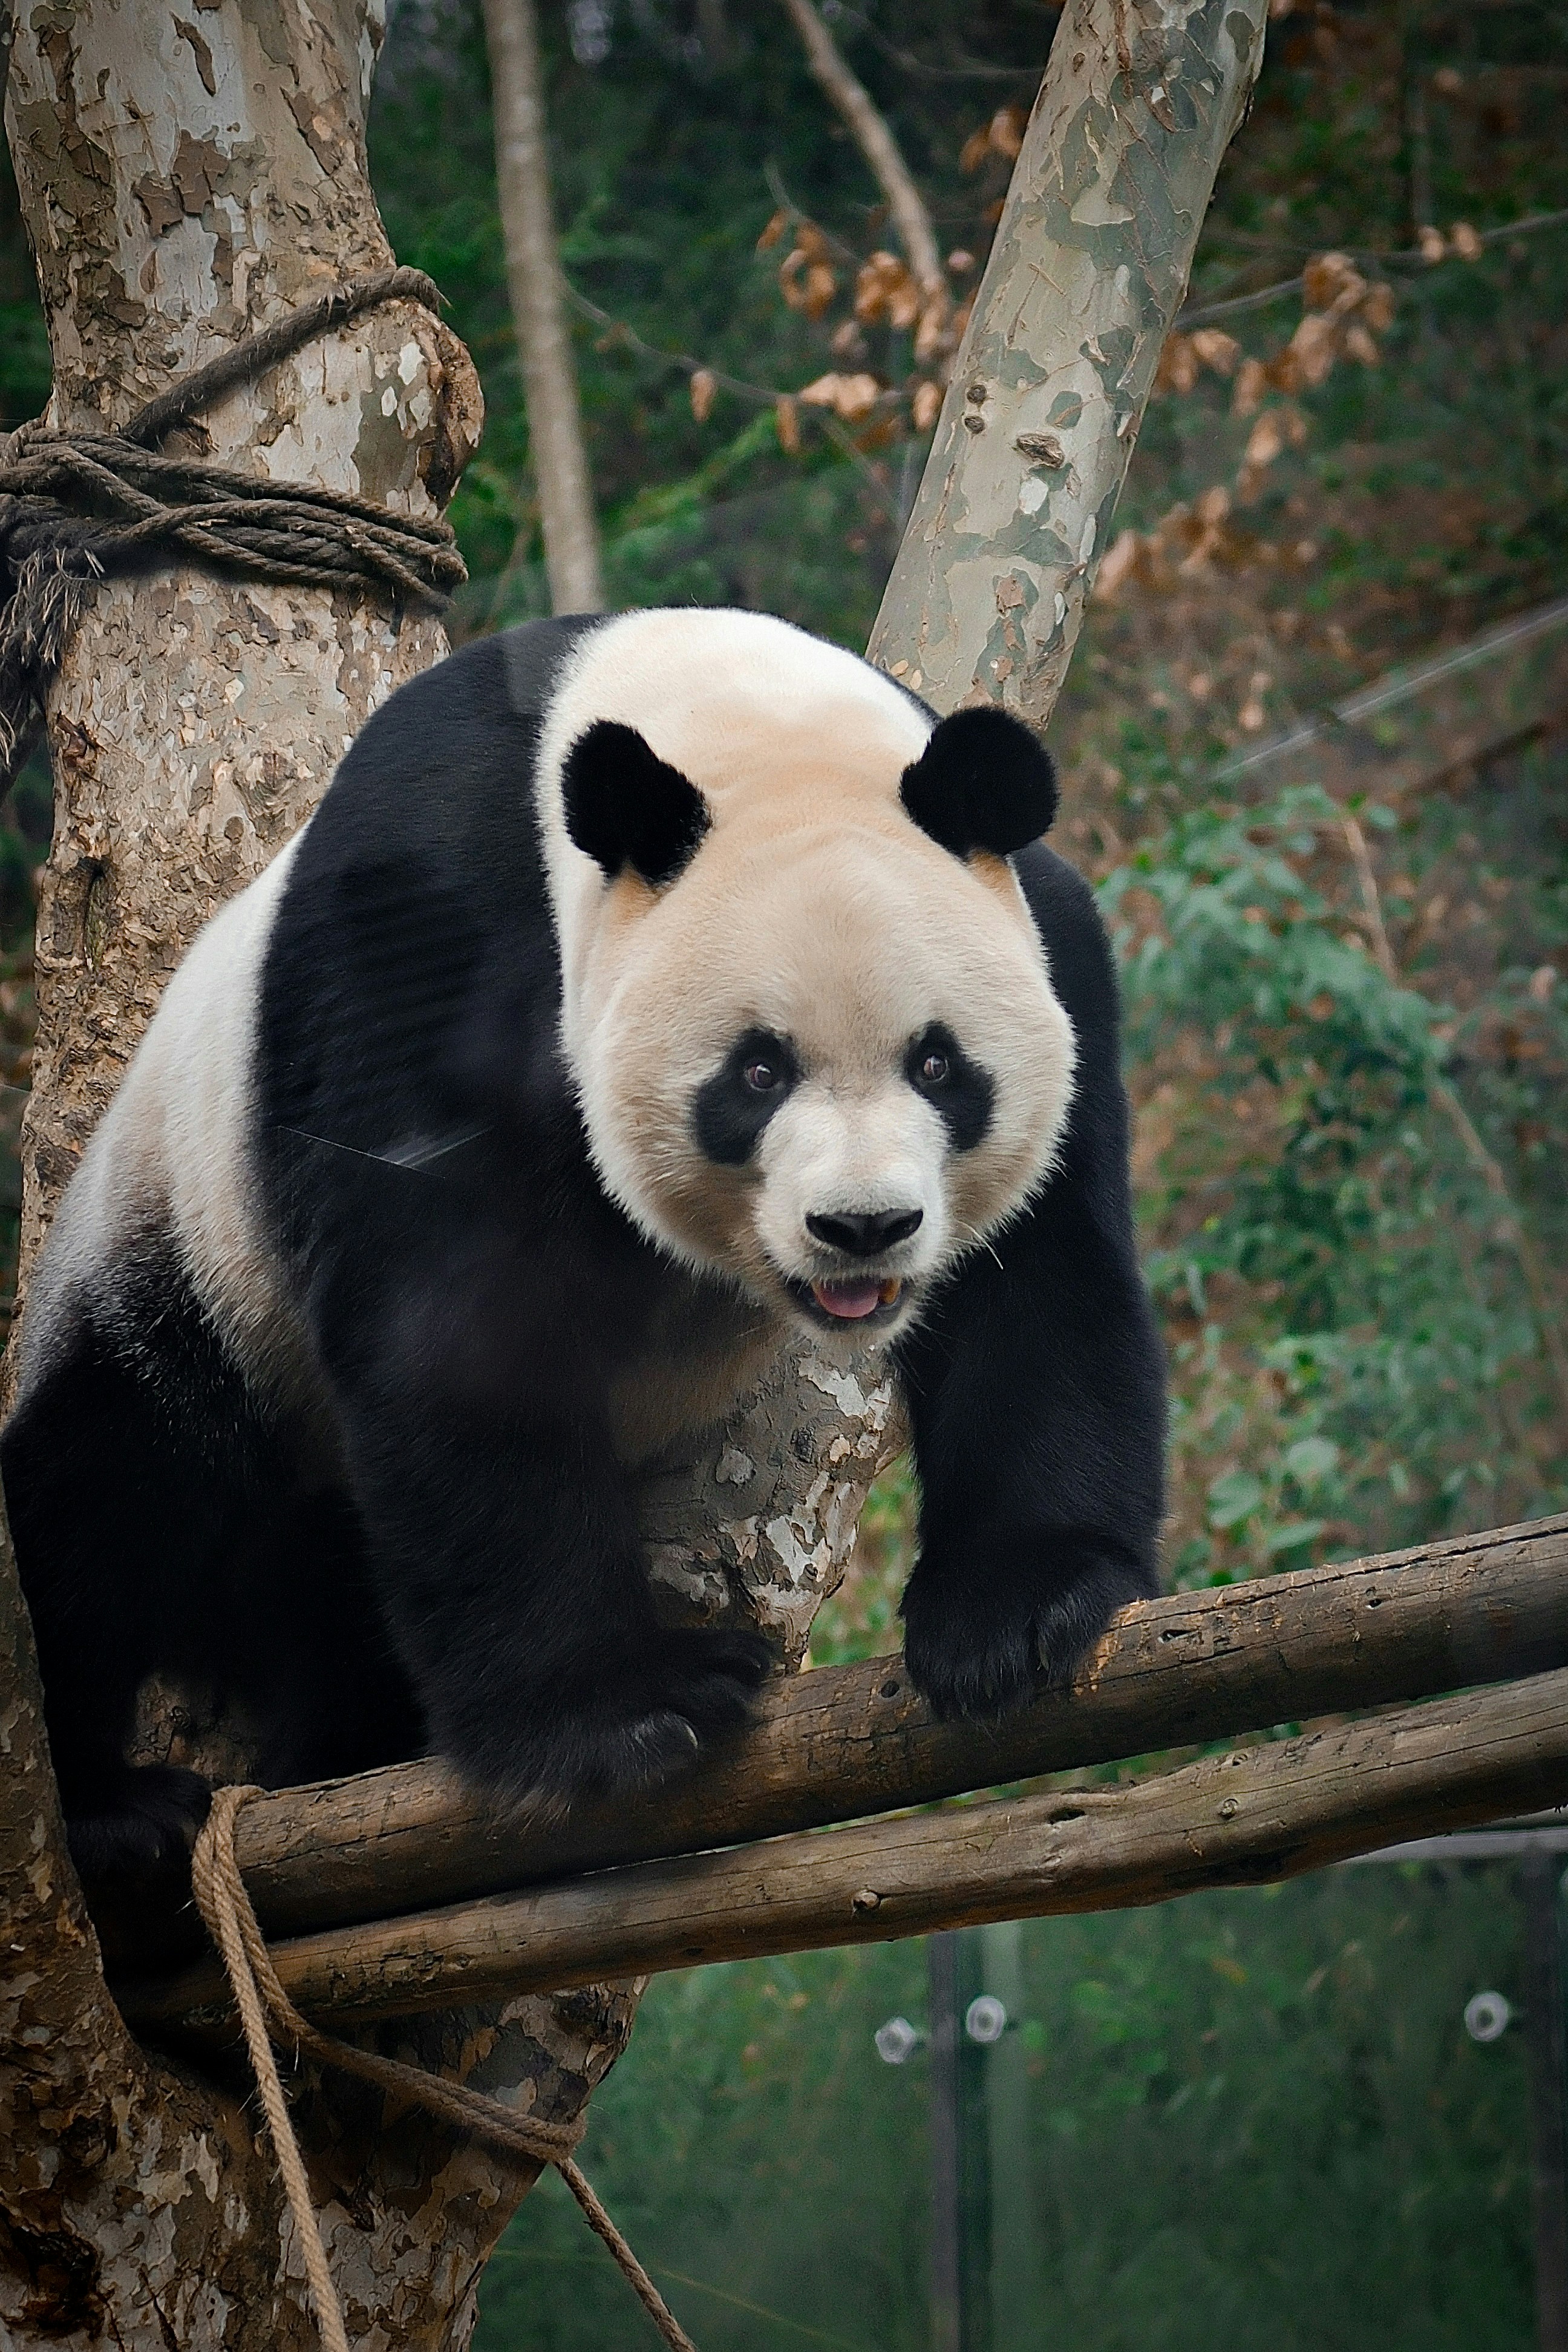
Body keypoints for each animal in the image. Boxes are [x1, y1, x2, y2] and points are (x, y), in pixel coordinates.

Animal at [0, 608, 1165, 1894]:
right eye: (756, 1072)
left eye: (939, 1063)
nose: (862, 1227)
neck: (740, 722)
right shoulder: (420, 945)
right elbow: (458, 1338)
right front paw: (622, 1715)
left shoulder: (1051, 952)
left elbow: (1038, 1279)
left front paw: (1014, 1614)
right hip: (188, 1264)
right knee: (114, 1490)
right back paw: (115, 1804)